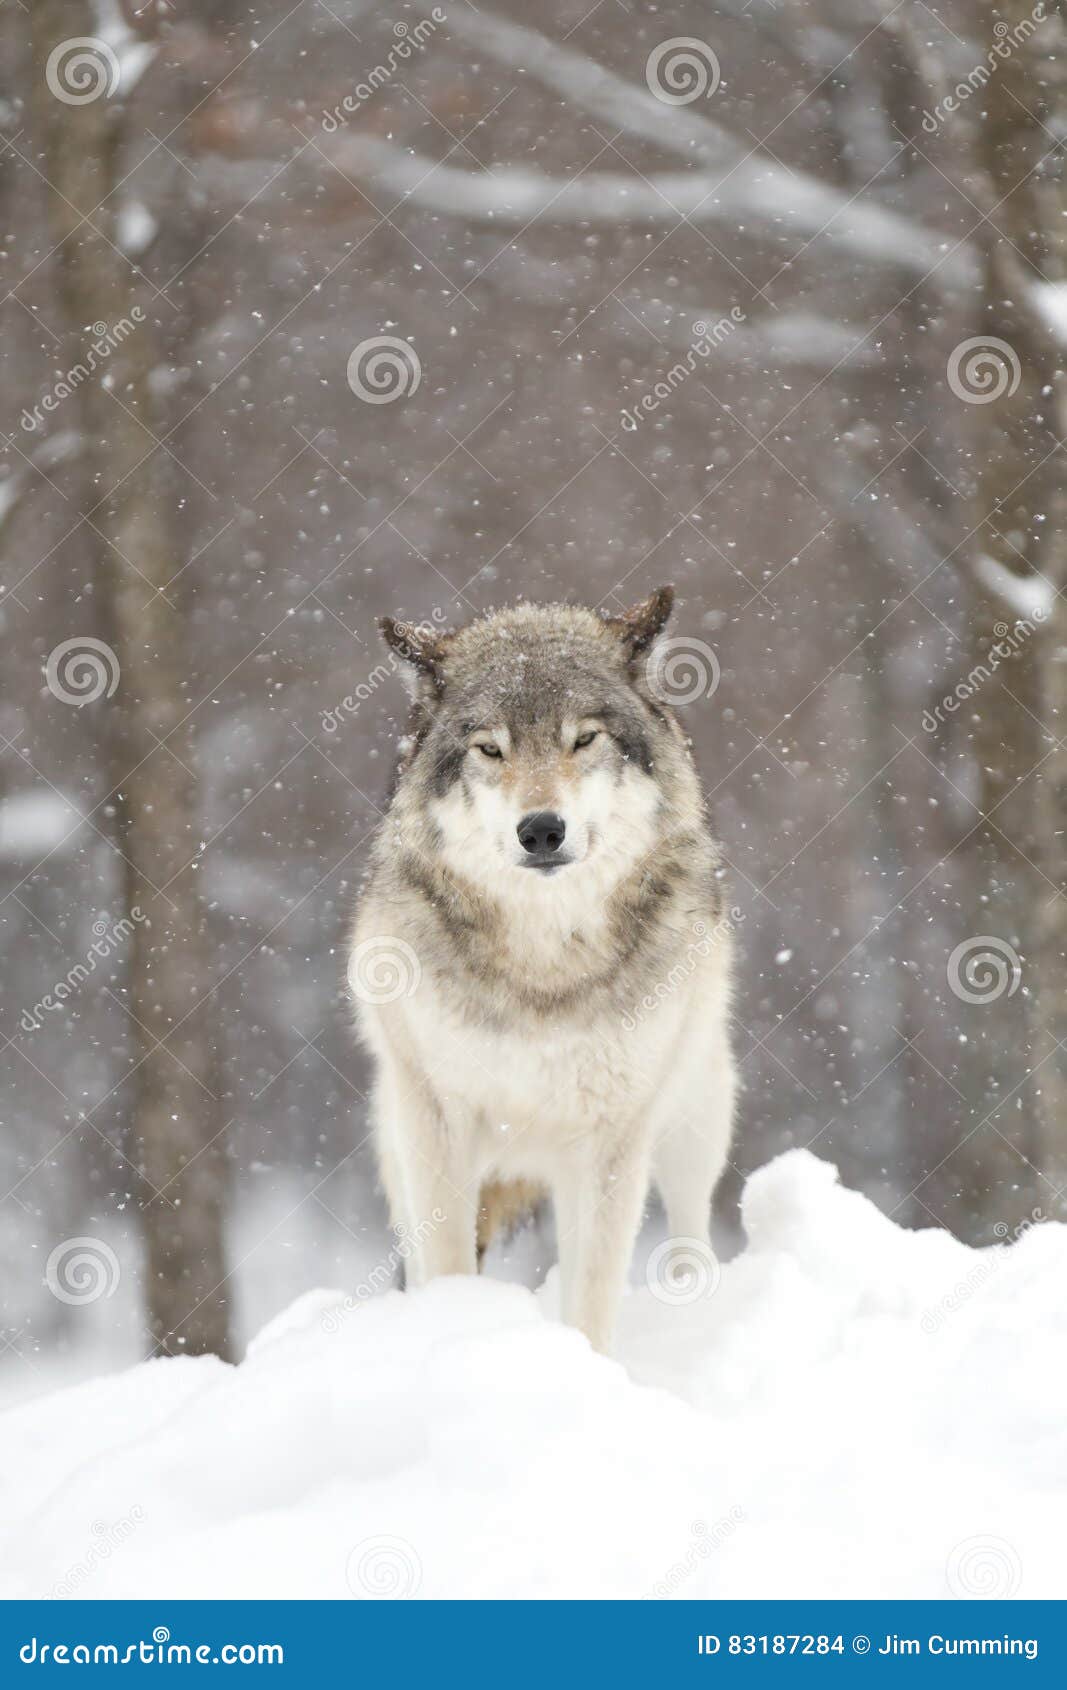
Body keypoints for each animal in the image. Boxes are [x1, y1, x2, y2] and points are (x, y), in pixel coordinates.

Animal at [350, 587, 737, 1353]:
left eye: (582, 740)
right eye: (489, 748)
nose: (541, 830)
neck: (542, 960)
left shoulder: (613, 1134)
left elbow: (591, 1294)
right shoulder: (435, 1119)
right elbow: (445, 1262)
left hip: (694, 1111)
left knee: (690, 1226)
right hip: (396, 1131)